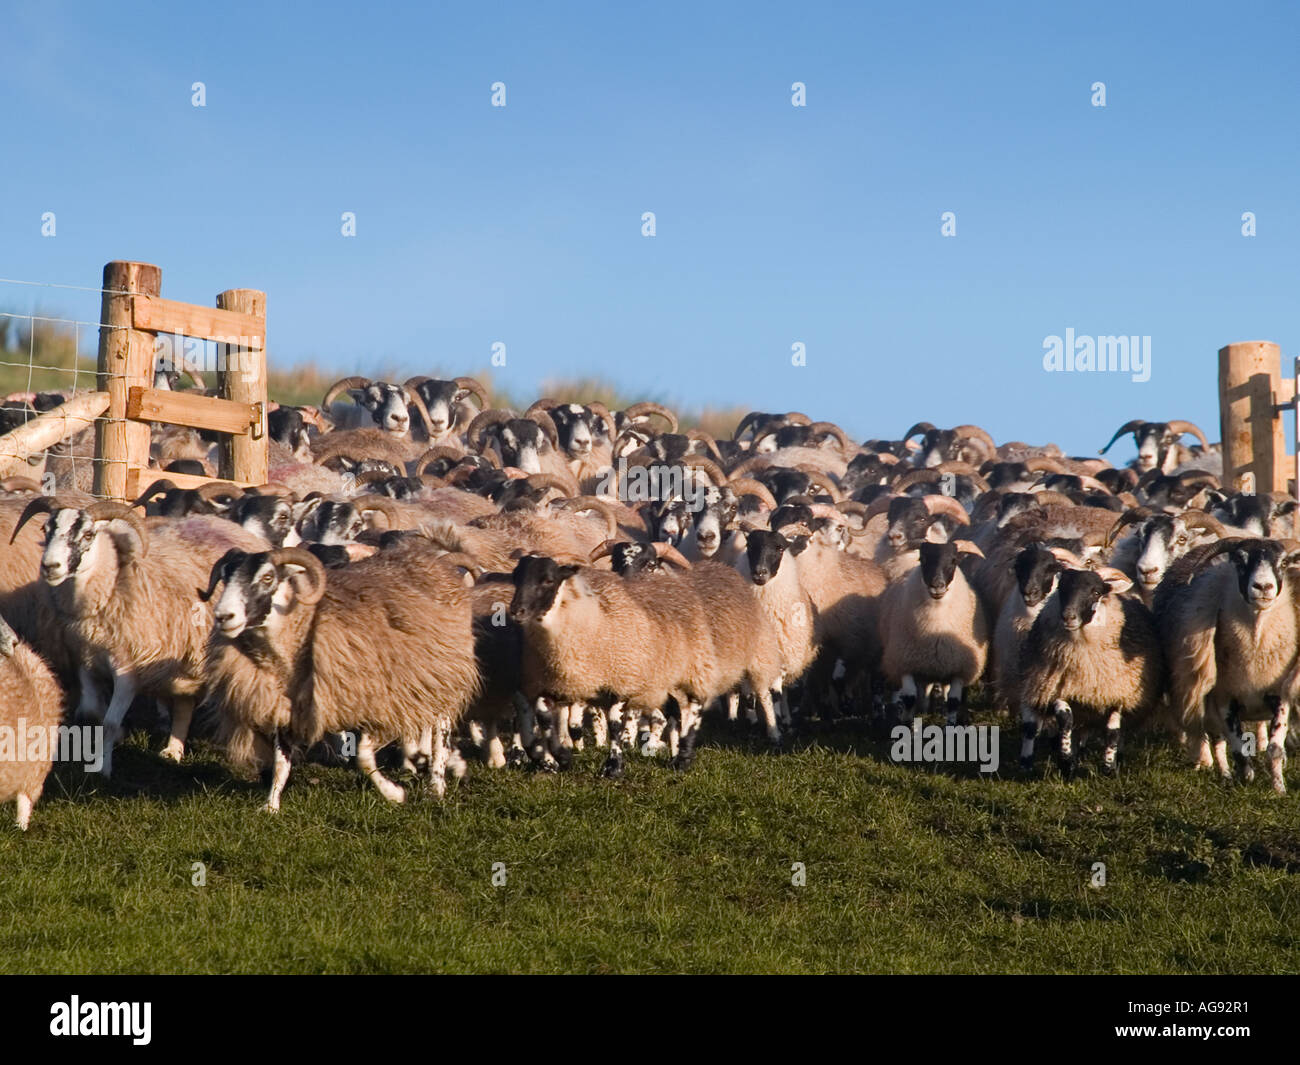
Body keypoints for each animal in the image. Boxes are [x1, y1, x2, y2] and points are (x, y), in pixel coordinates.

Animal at [11, 499, 269, 774]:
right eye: (45, 528)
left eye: (88, 534)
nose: (50, 567)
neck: (113, 583)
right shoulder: (86, 660)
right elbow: (91, 712)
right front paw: (114, 740)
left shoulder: (128, 671)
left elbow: (110, 722)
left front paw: (102, 768)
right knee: (185, 703)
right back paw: (173, 750)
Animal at [201, 543, 479, 808]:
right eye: (225, 577)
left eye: (267, 577)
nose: (223, 616)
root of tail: (434, 561)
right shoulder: (284, 709)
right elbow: (281, 762)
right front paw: (271, 805)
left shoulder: (375, 702)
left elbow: (364, 758)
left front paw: (395, 794)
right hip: (422, 681)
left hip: (444, 673)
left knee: (441, 731)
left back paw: (437, 785)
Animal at [1019, 566, 1165, 776]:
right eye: (1061, 588)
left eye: (1096, 592)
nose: (1068, 616)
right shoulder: (1057, 688)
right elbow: (1065, 719)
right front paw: (1066, 762)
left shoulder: (1118, 694)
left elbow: (1112, 731)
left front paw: (1109, 767)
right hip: (1035, 686)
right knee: (1031, 728)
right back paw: (1027, 764)